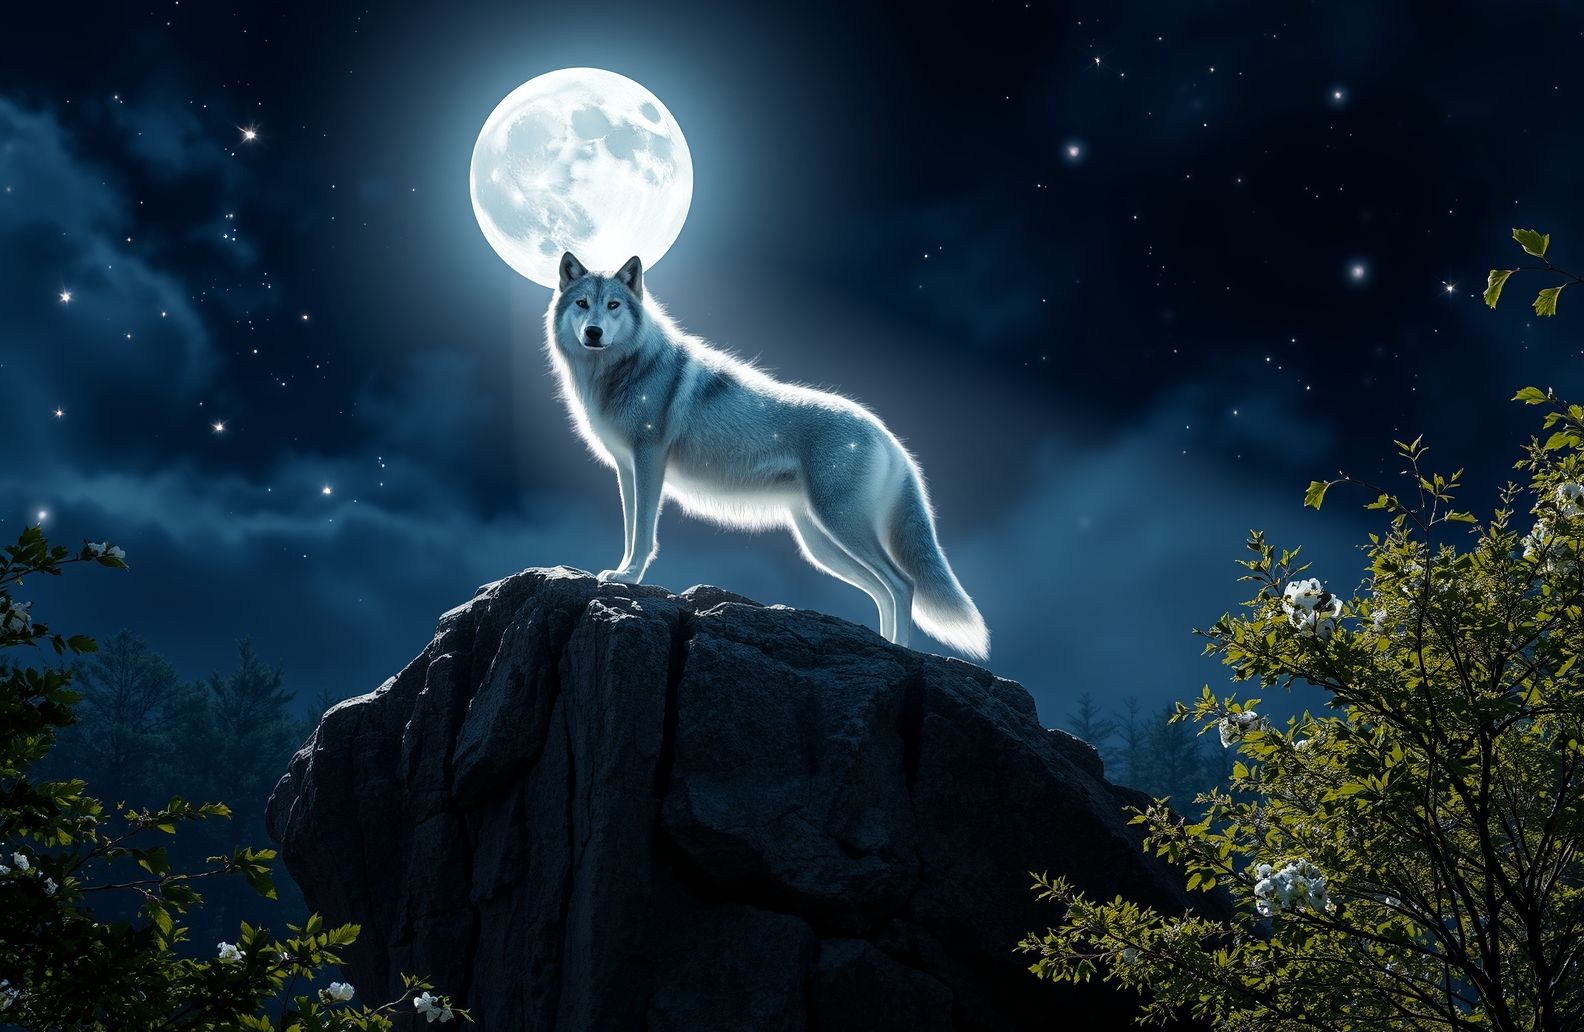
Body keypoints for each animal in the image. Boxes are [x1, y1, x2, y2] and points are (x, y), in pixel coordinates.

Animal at [543, 251, 989, 659]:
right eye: (582, 304)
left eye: (613, 305)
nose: (594, 332)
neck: (624, 369)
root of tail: (891, 439)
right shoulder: (626, 467)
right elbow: (630, 528)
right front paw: (621, 570)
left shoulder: (649, 460)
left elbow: (643, 534)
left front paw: (630, 576)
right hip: (821, 545)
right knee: (881, 589)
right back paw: (882, 644)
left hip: (840, 527)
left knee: (902, 582)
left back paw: (900, 649)